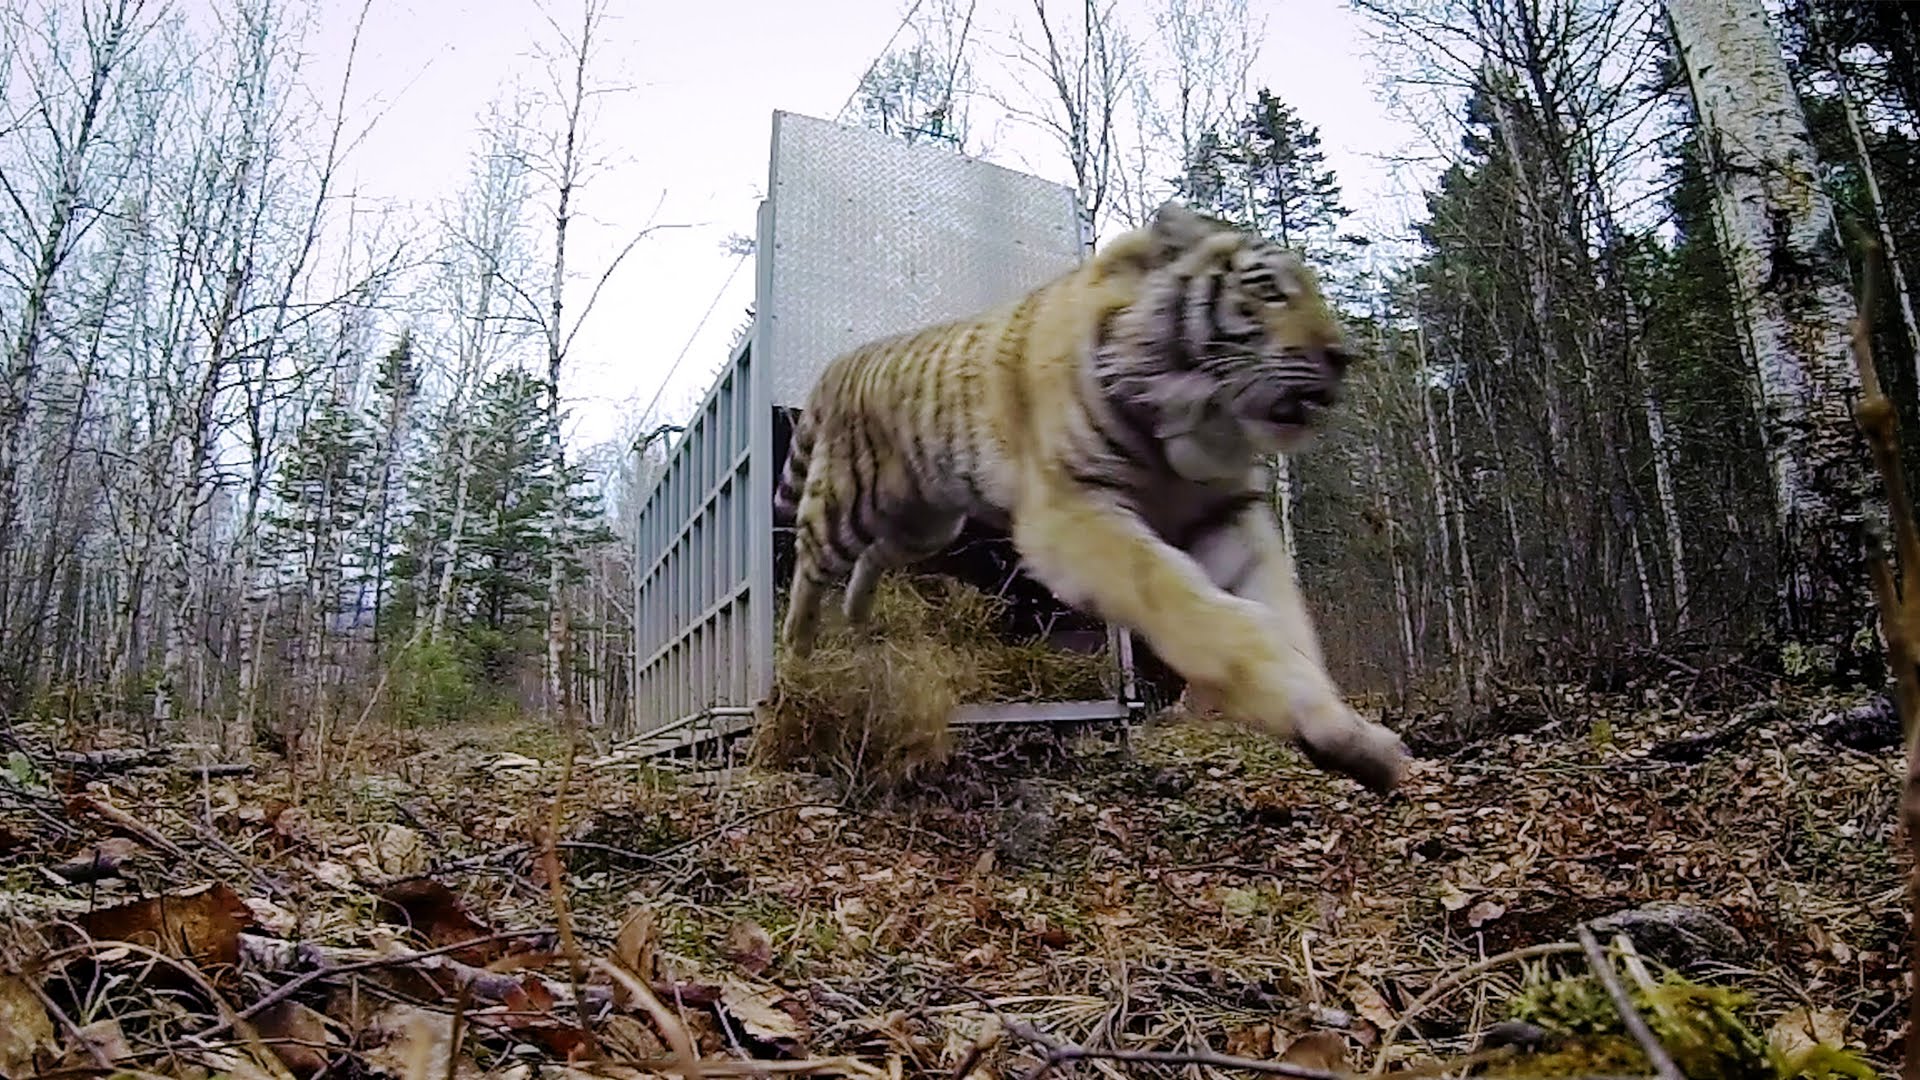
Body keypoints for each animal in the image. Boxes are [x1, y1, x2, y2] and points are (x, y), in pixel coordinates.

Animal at [770, 200, 1410, 795]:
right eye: (1267, 289)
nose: (1343, 357)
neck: (1194, 418)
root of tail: (836, 363)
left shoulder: (1225, 515)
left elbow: (1290, 623)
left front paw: (1347, 736)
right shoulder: (1073, 512)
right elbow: (1191, 603)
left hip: (925, 522)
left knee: (873, 558)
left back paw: (857, 621)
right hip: (849, 502)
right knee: (810, 562)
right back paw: (795, 659)